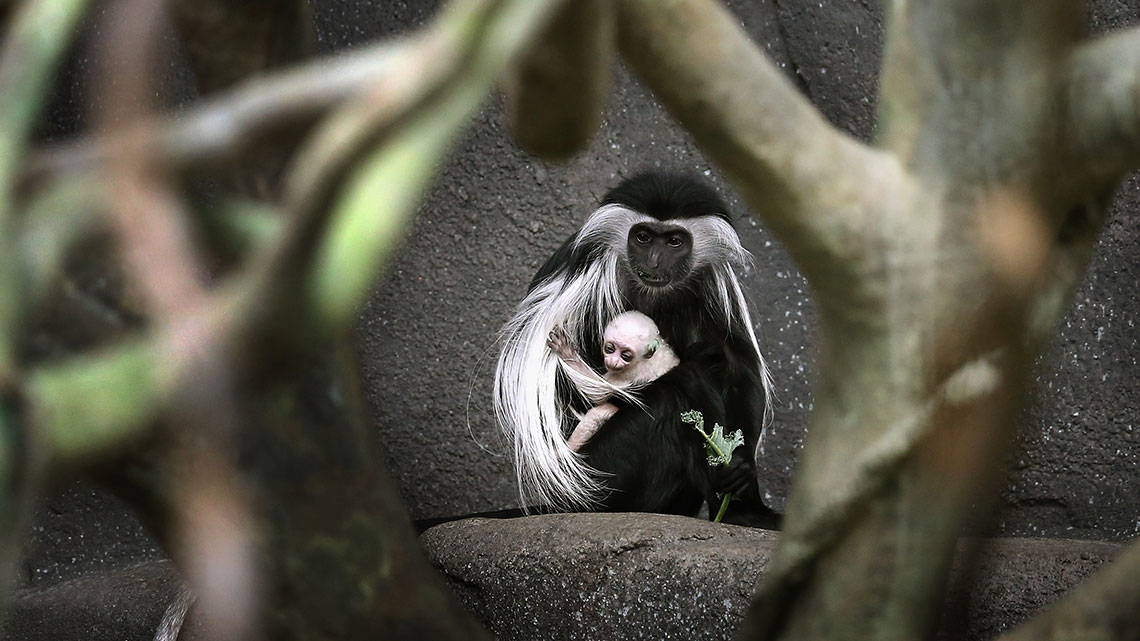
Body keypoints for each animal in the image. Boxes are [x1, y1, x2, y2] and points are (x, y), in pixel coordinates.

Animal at [547, 310, 680, 452]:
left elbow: (600, 396)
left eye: (626, 356)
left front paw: (567, 353)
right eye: (610, 349)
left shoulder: (632, 372)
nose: (613, 361)